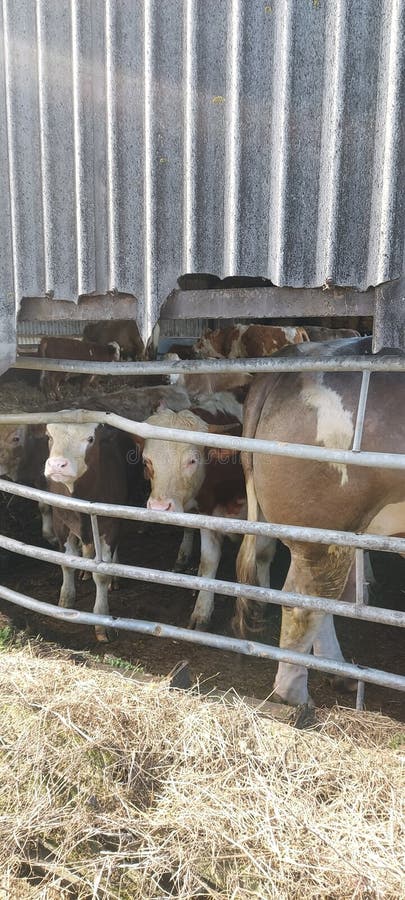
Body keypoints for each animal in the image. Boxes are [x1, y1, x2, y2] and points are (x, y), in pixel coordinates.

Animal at [44, 421, 136, 641]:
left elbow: (102, 574)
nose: (57, 465)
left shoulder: (111, 525)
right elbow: (66, 562)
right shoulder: (60, 522)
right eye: (49, 436)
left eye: (91, 439)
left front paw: (102, 622)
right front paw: (66, 600)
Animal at [136, 400, 275, 629]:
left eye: (192, 461)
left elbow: (262, 554)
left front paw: (261, 599)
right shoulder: (208, 514)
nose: (158, 508)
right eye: (147, 461)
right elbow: (208, 561)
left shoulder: (264, 516)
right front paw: (201, 611)